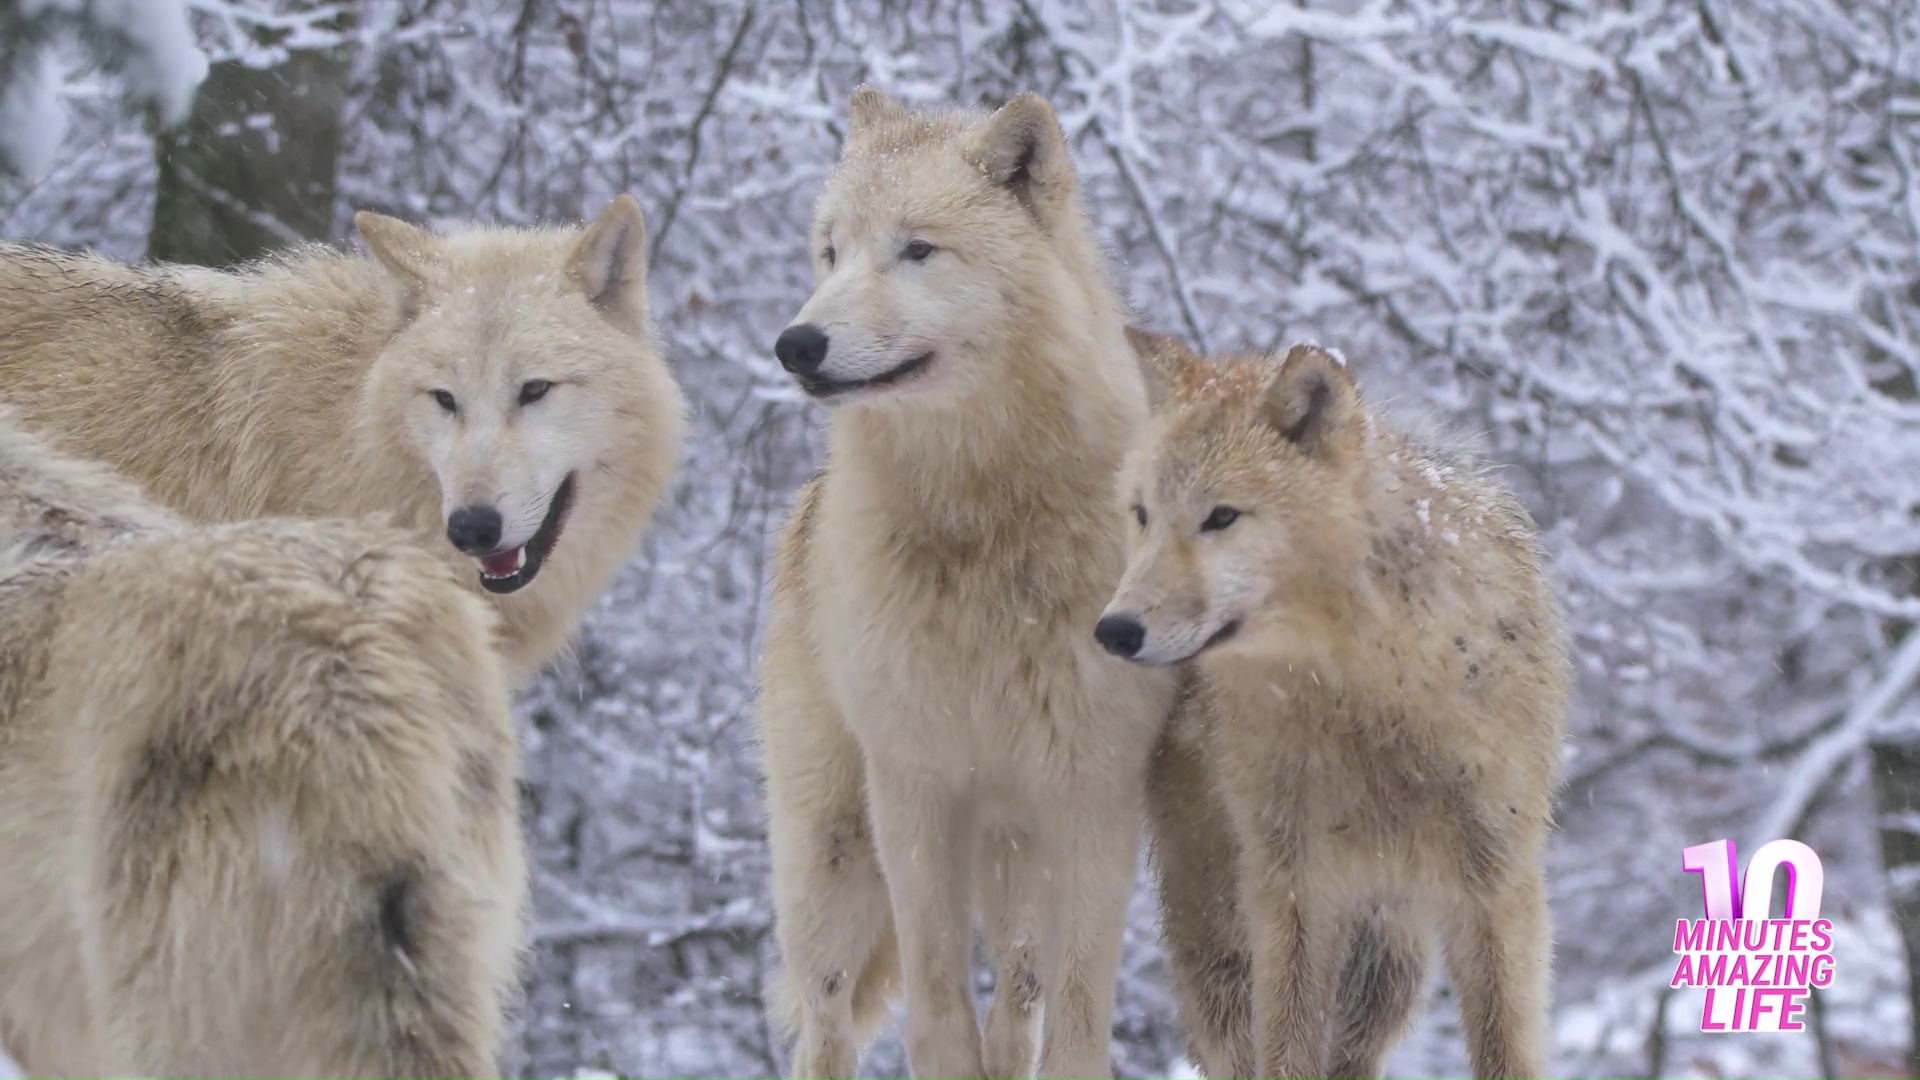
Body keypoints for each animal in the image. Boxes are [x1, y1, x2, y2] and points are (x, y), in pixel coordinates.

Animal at [755, 89, 1182, 1080]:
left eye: (917, 250)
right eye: (830, 251)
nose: (796, 343)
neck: (983, 521)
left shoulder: (1093, 793)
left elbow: (1073, 1022)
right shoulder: (915, 788)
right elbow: (939, 1007)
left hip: (1018, 862)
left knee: (1016, 1010)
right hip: (831, 864)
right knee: (827, 1026)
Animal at [1101, 333, 1569, 1080]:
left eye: (1221, 516)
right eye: (1143, 513)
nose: (1115, 630)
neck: (1366, 690)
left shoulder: (1497, 884)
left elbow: (1506, 1049)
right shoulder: (1292, 888)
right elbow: (1287, 1050)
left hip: (1388, 963)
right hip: (1223, 927)